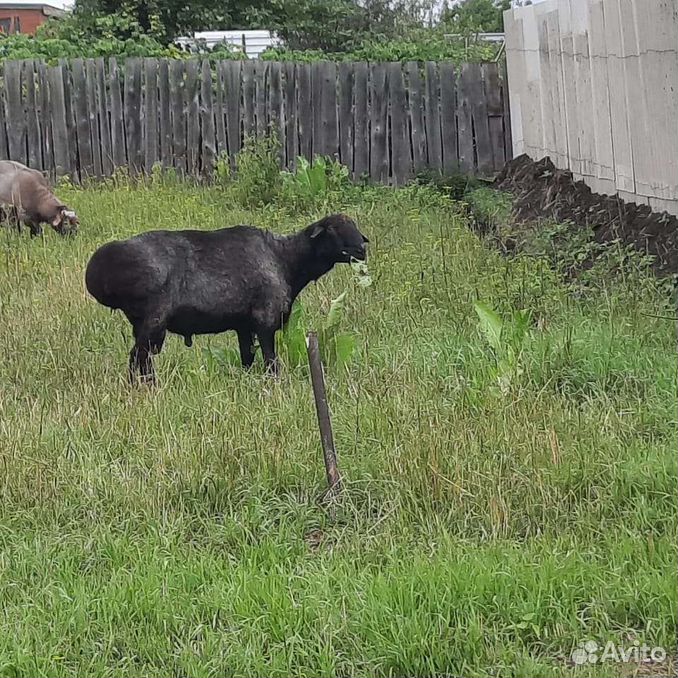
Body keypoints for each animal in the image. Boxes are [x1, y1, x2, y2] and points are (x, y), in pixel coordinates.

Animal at [87, 212, 372, 382]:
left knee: (140, 359)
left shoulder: (244, 325)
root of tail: (97, 272)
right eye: (332, 230)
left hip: (142, 322)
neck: (286, 259)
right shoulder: (264, 319)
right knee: (138, 358)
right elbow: (271, 360)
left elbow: (247, 358)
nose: (361, 250)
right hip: (153, 319)